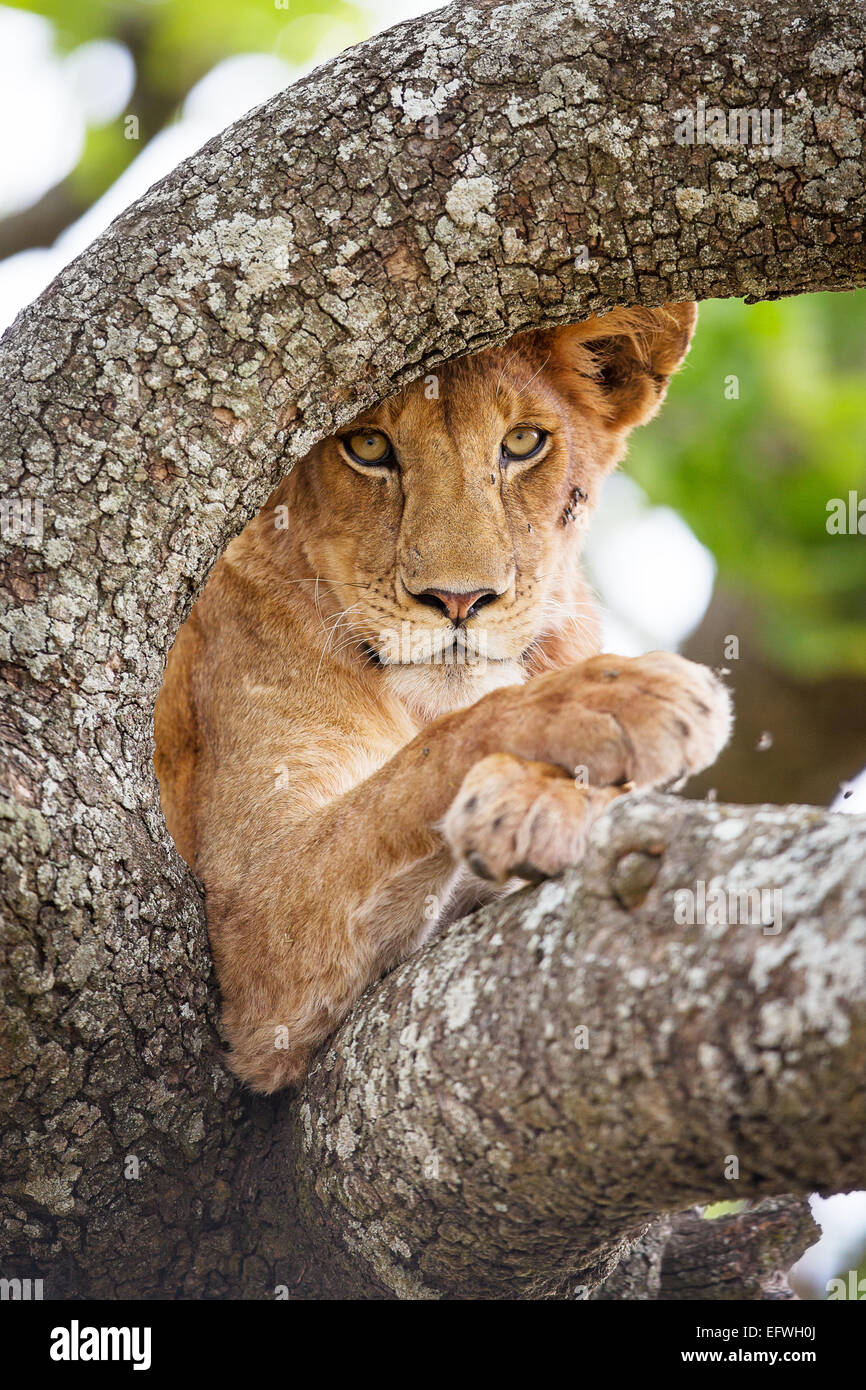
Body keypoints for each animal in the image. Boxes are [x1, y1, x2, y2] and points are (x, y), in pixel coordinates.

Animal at [154, 302, 732, 1093]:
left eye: (521, 442)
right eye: (367, 445)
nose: (459, 600)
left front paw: (543, 799)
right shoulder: (251, 923)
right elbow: (433, 751)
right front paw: (619, 700)